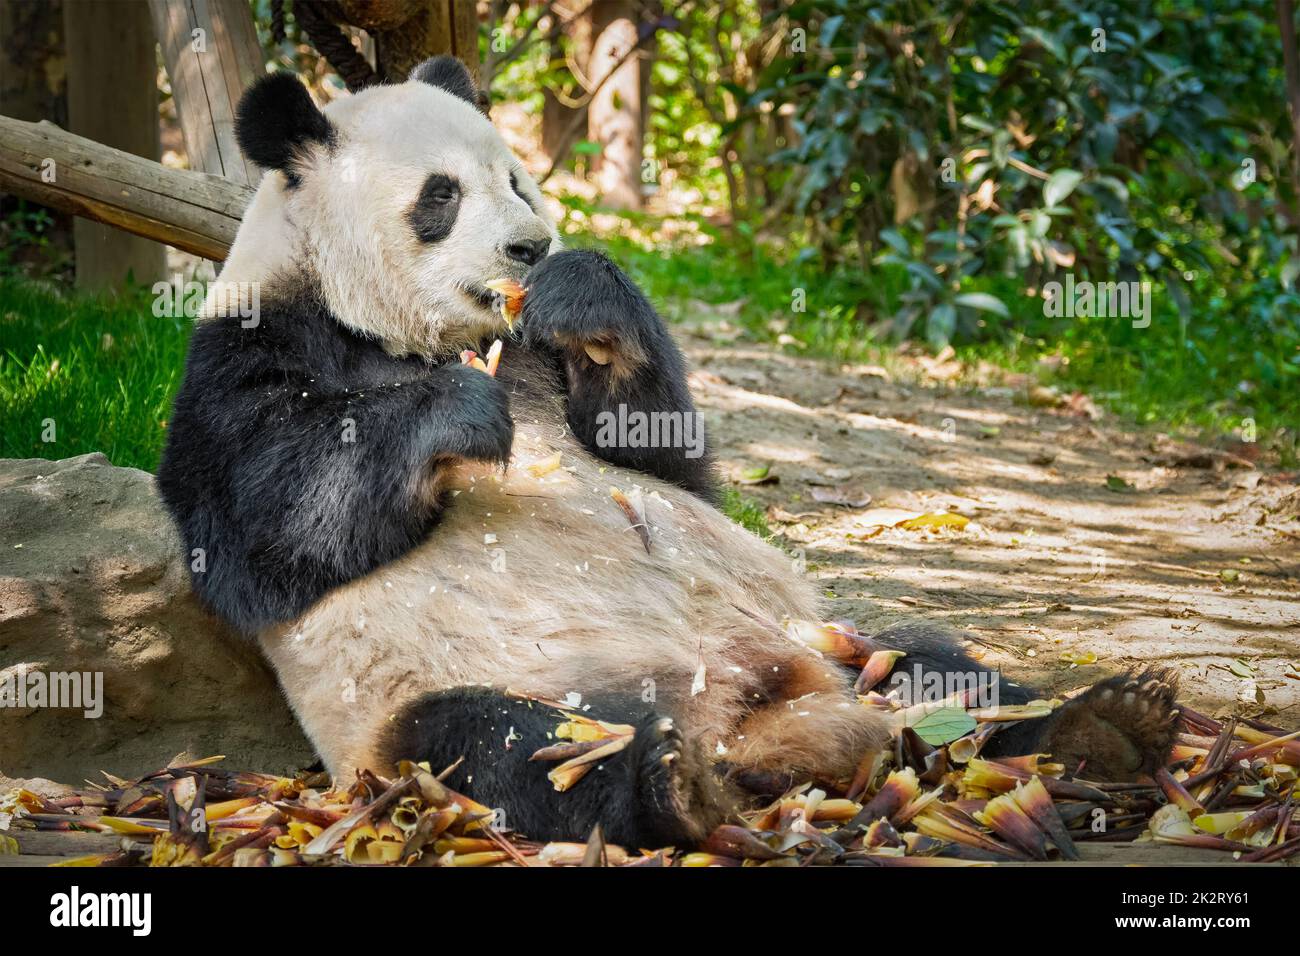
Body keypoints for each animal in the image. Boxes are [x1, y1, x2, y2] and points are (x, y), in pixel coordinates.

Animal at [157, 56, 1179, 849]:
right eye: (439, 196)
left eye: (516, 181)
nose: (529, 247)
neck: (408, 335)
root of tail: (758, 723)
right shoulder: (244, 354)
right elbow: (266, 528)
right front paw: (455, 414)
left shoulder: (542, 360)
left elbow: (668, 464)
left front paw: (584, 295)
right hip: (434, 710)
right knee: (507, 746)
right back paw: (668, 788)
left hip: (829, 638)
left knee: (943, 668)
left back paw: (1102, 726)